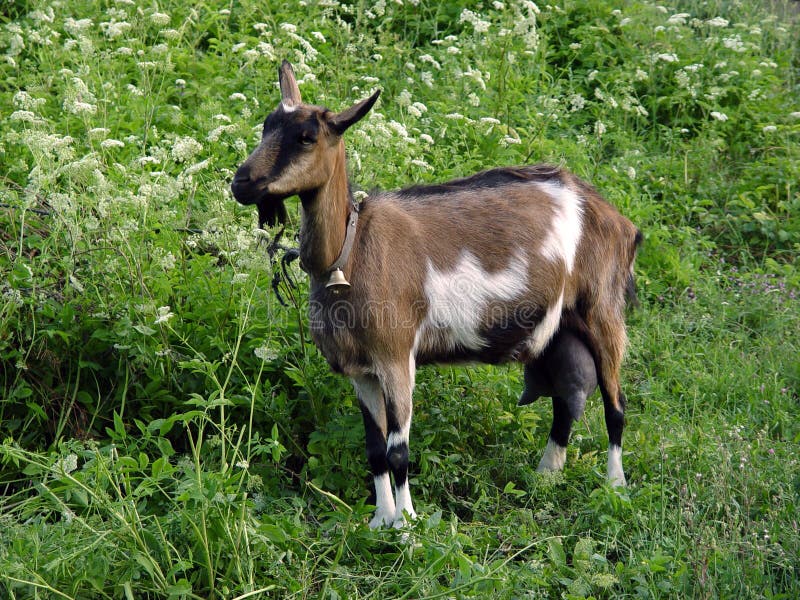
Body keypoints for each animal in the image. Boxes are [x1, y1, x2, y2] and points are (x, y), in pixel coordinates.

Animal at [231, 61, 641, 528]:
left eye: (306, 136)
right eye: (267, 125)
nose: (242, 183)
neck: (351, 252)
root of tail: (618, 219)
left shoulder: (396, 357)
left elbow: (398, 450)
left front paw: (407, 527)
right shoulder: (360, 369)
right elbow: (375, 449)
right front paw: (379, 521)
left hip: (603, 311)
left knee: (615, 402)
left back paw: (615, 488)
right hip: (561, 327)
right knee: (565, 398)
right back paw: (546, 477)